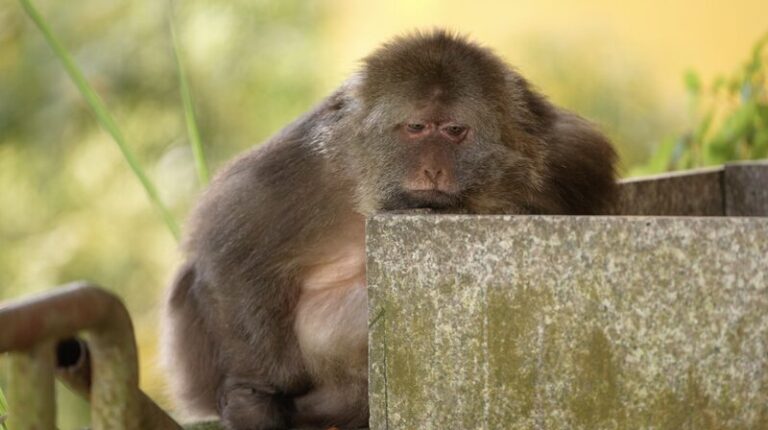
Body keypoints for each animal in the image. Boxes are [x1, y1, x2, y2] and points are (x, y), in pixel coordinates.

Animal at [162, 30, 617, 430]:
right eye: (416, 128)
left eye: (454, 130)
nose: (432, 169)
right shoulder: (306, 165)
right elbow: (227, 247)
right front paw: (262, 392)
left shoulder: (551, 145)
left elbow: (573, 158)